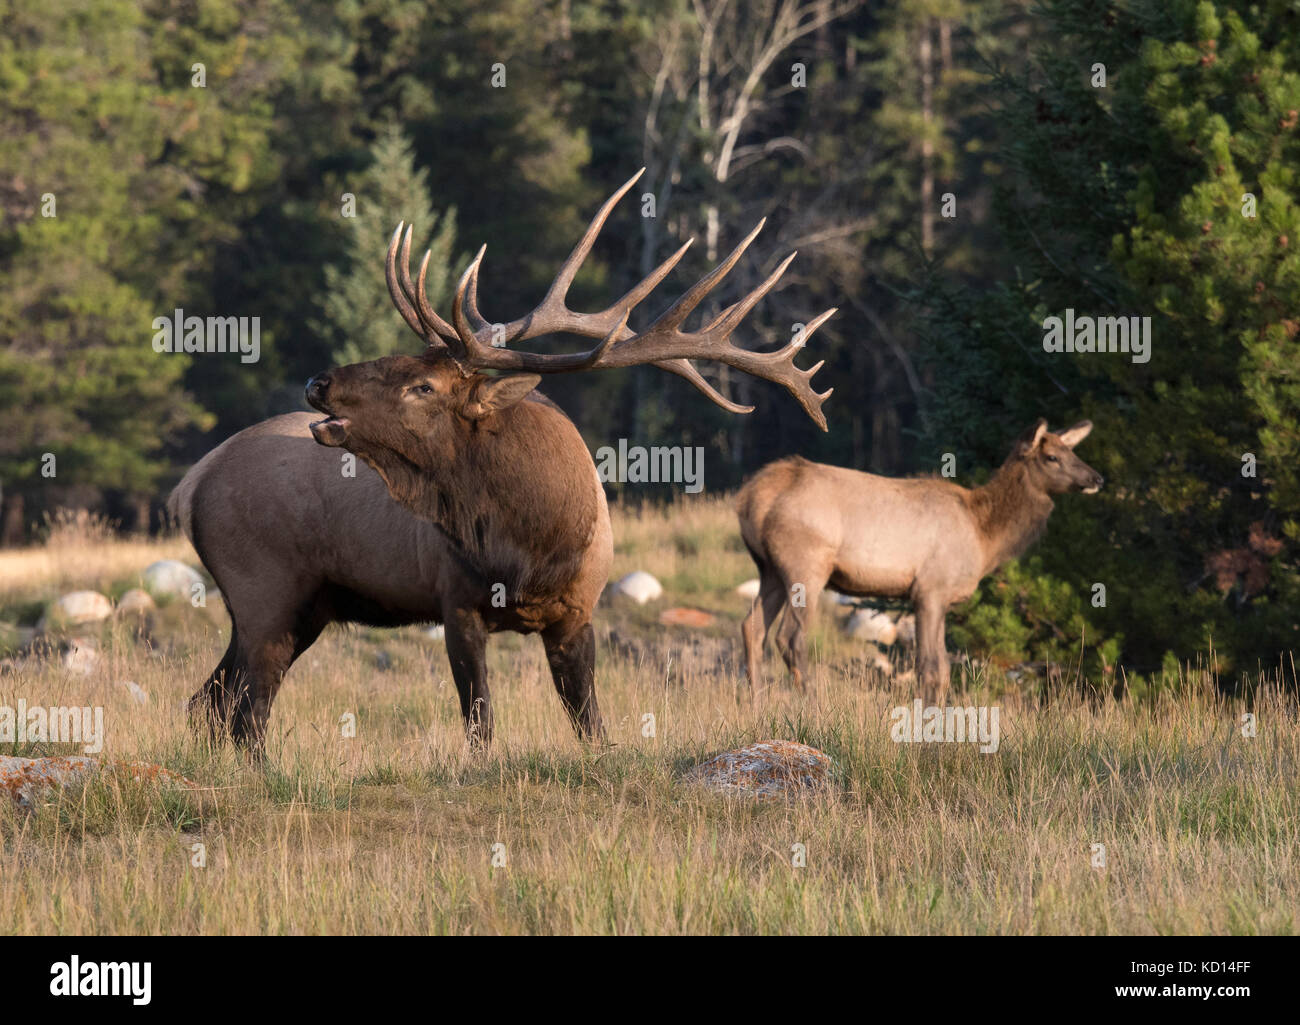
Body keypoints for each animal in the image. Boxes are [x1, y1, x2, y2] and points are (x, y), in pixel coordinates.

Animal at [169, 169, 834, 751]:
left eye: (422, 386)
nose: (318, 382)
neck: (533, 548)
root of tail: (190, 483)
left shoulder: (578, 611)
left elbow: (590, 724)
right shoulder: (455, 603)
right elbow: (481, 726)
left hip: (294, 605)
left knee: (216, 703)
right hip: (265, 588)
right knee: (241, 710)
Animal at [736, 420, 1103, 700]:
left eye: (1073, 451)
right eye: (1052, 457)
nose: (1096, 478)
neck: (984, 536)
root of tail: (751, 497)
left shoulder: (941, 598)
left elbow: (943, 669)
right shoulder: (930, 589)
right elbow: (930, 668)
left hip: (769, 569)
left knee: (752, 627)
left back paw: (758, 705)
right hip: (807, 564)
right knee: (790, 638)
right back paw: (813, 706)